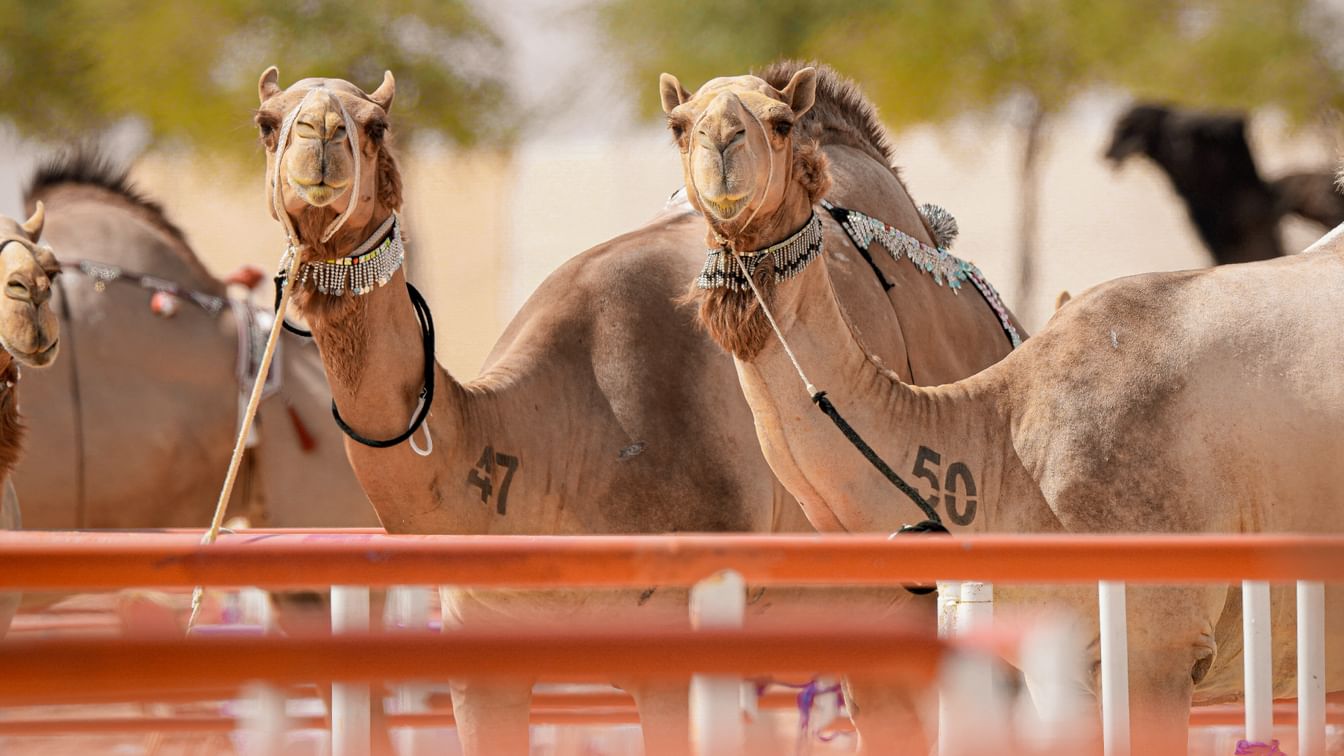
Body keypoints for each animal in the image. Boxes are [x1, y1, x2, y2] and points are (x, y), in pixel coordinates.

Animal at [253, 64, 1019, 755]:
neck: (546, 447)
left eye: (374, 125)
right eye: (266, 123)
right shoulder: (481, 663)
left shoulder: (672, 655)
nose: (319, 135)